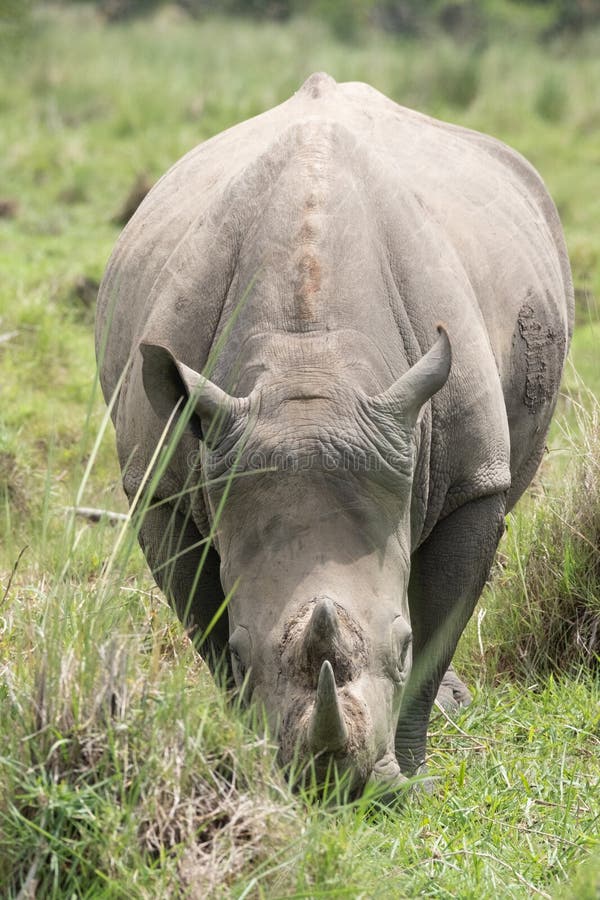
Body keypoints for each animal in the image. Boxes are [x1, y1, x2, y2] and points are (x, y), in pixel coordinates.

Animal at [96, 73, 573, 795]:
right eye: (244, 649)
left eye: (401, 644)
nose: (335, 789)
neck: (310, 369)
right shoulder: (162, 487)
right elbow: (207, 630)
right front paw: (253, 761)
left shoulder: (472, 483)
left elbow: (438, 632)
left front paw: (410, 775)